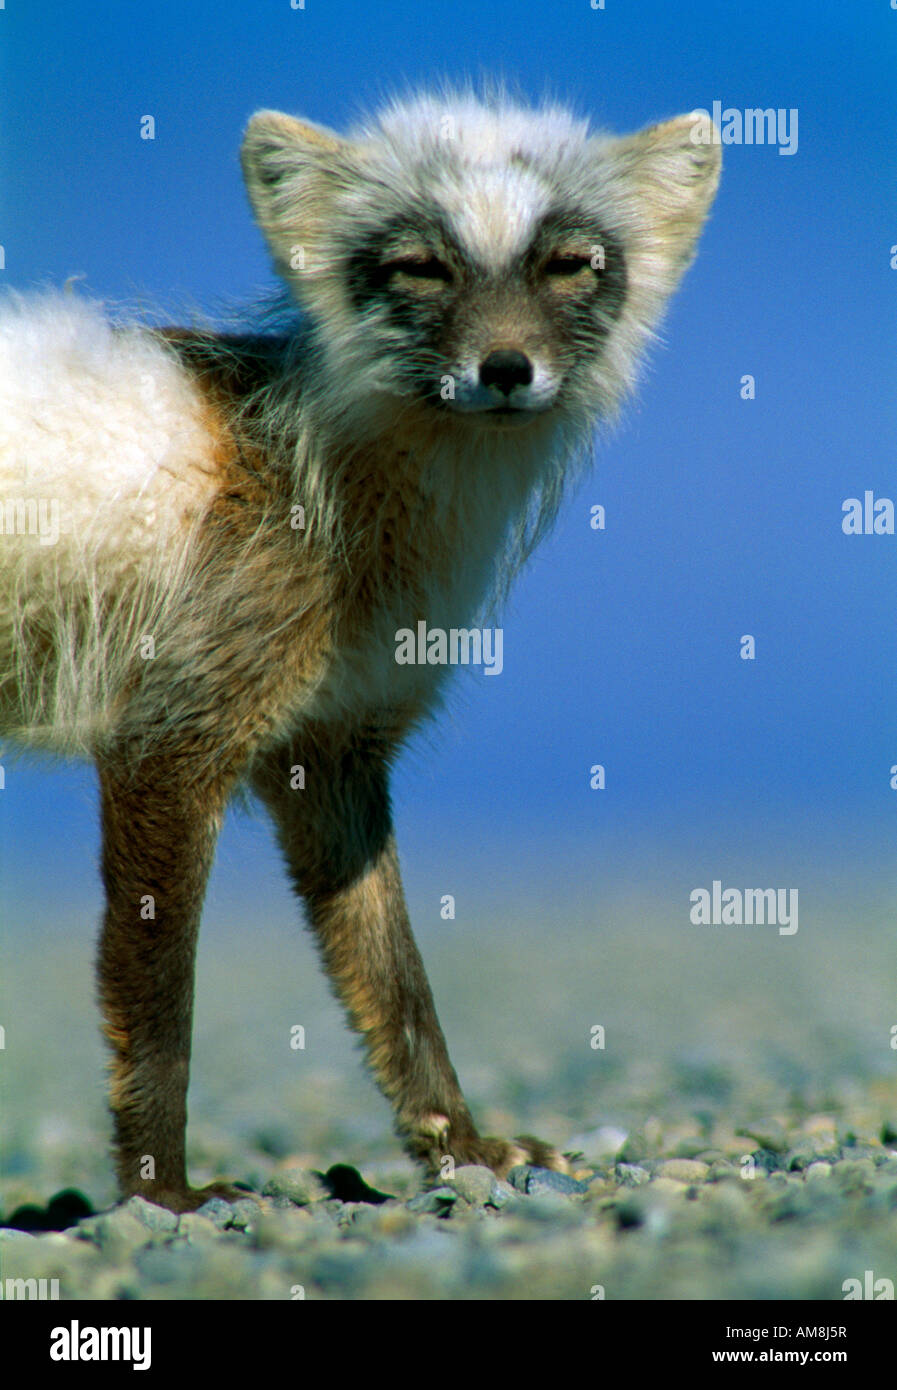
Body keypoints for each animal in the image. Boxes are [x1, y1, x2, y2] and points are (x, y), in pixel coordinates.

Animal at [0, 89, 721, 1212]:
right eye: (421, 267)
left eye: (567, 263)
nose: (504, 369)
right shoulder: (172, 739)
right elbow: (158, 1010)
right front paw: (165, 1197)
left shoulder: (333, 754)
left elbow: (396, 984)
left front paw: (463, 1150)